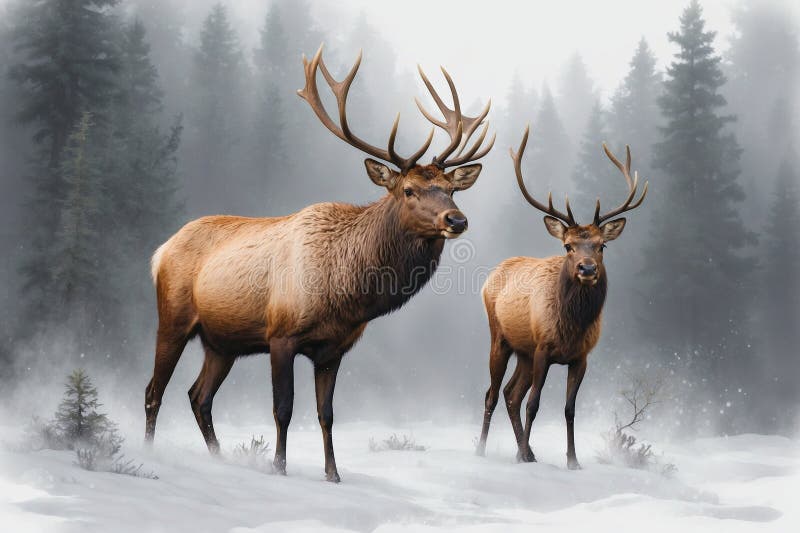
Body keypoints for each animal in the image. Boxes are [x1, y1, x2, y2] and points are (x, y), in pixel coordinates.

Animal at [143, 45, 495, 482]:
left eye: (451, 189)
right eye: (409, 190)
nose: (457, 220)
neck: (347, 291)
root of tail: (160, 250)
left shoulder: (334, 348)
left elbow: (326, 414)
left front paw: (333, 474)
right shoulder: (281, 334)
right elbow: (283, 408)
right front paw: (279, 467)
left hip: (221, 341)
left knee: (198, 396)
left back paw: (219, 457)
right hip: (173, 317)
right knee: (154, 390)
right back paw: (150, 453)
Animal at [475, 126, 647, 469]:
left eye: (601, 245)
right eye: (568, 245)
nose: (587, 268)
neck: (572, 325)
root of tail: (493, 273)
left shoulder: (581, 357)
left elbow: (569, 409)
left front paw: (573, 461)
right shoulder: (543, 347)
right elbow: (534, 404)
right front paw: (521, 455)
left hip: (524, 352)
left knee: (510, 395)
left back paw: (528, 451)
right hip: (500, 338)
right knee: (493, 393)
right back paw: (483, 449)